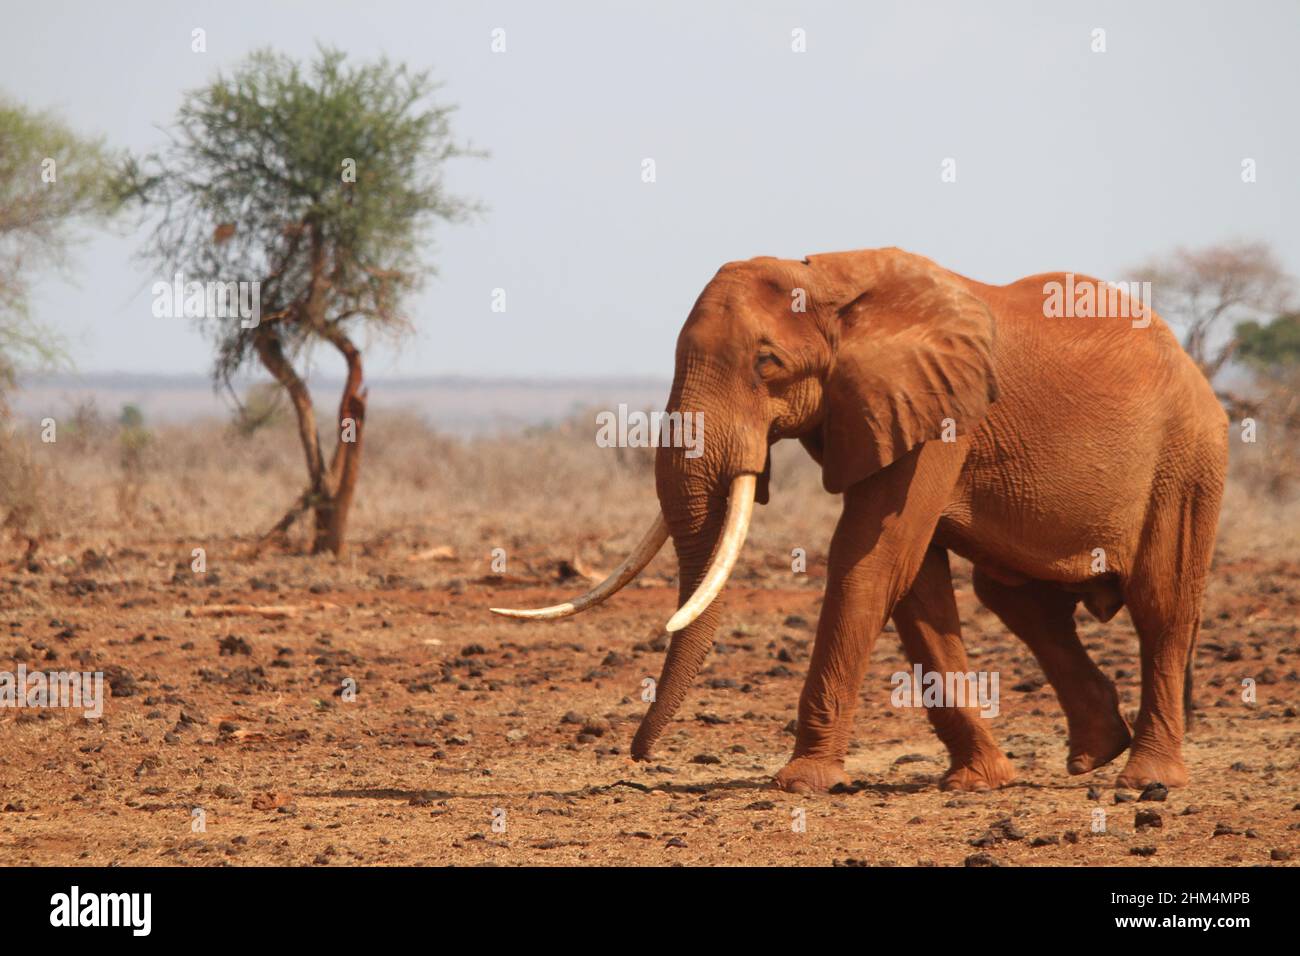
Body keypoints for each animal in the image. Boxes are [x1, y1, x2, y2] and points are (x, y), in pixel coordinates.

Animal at [493, 247, 1227, 794]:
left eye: (765, 363)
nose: (638, 756)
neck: (826, 280)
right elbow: (914, 579)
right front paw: (976, 783)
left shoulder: (940, 413)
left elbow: (871, 558)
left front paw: (800, 783)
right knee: (1019, 602)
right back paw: (1095, 755)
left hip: (1188, 460)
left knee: (1161, 603)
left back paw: (1146, 779)